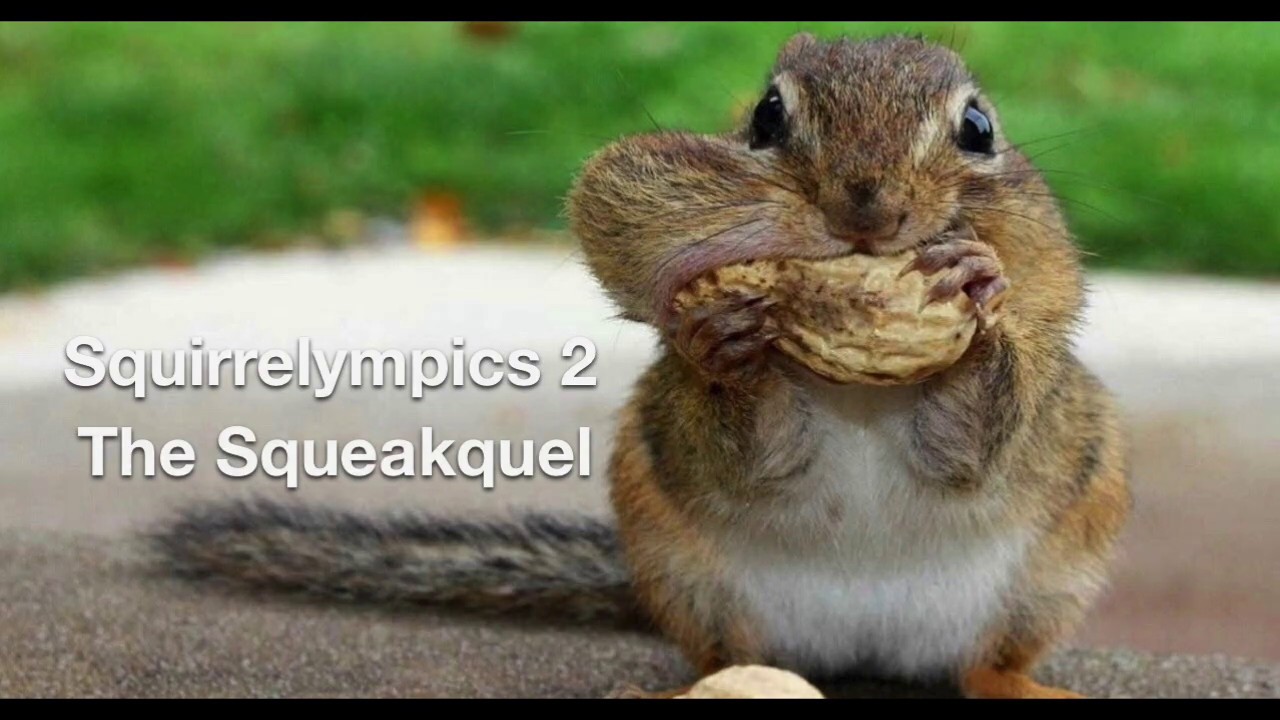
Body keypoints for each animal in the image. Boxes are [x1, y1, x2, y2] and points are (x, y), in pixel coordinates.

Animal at [150, 33, 1131, 700]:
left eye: (979, 127)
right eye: (766, 117)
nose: (866, 209)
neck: (854, 392)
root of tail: (862, 647)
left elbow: (972, 444)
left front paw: (978, 293)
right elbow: (754, 450)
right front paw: (729, 347)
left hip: (1053, 572)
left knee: (986, 666)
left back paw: (1027, 686)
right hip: (682, 570)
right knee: (728, 657)